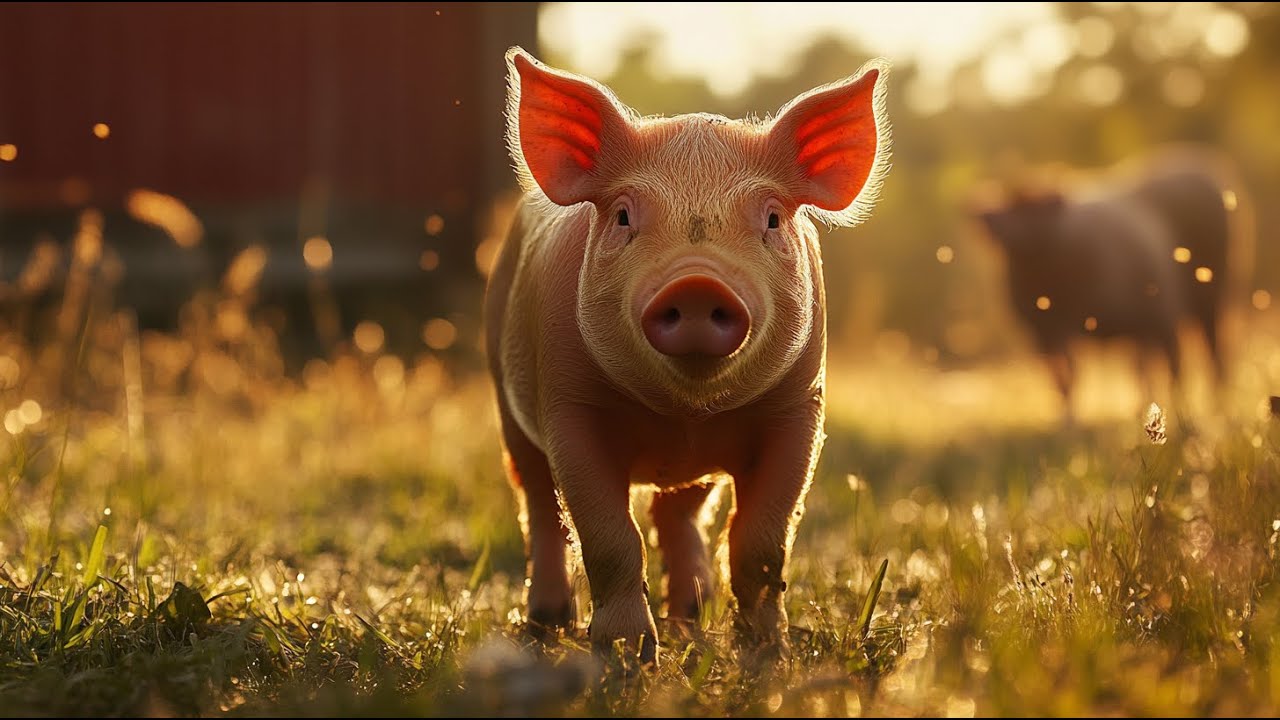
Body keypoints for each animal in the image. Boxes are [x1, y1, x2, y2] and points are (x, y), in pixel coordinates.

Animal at [485, 47, 890, 664]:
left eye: (772, 218)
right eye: (624, 215)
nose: (697, 283)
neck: (685, 415)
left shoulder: (799, 408)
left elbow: (763, 542)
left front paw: (768, 653)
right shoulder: (568, 407)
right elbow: (608, 536)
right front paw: (627, 657)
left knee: (677, 514)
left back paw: (691, 620)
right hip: (507, 401)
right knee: (539, 505)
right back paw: (549, 624)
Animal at [976, 147, 1251, 413]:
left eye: (1037, 215)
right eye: (1006, 219)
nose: (1016, 236)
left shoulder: (1071, 321)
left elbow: (1073, 374)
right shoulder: (1040, 330)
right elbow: (1060, 379)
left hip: (1205, 298)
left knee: (1203, 352)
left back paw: (1207, 406)